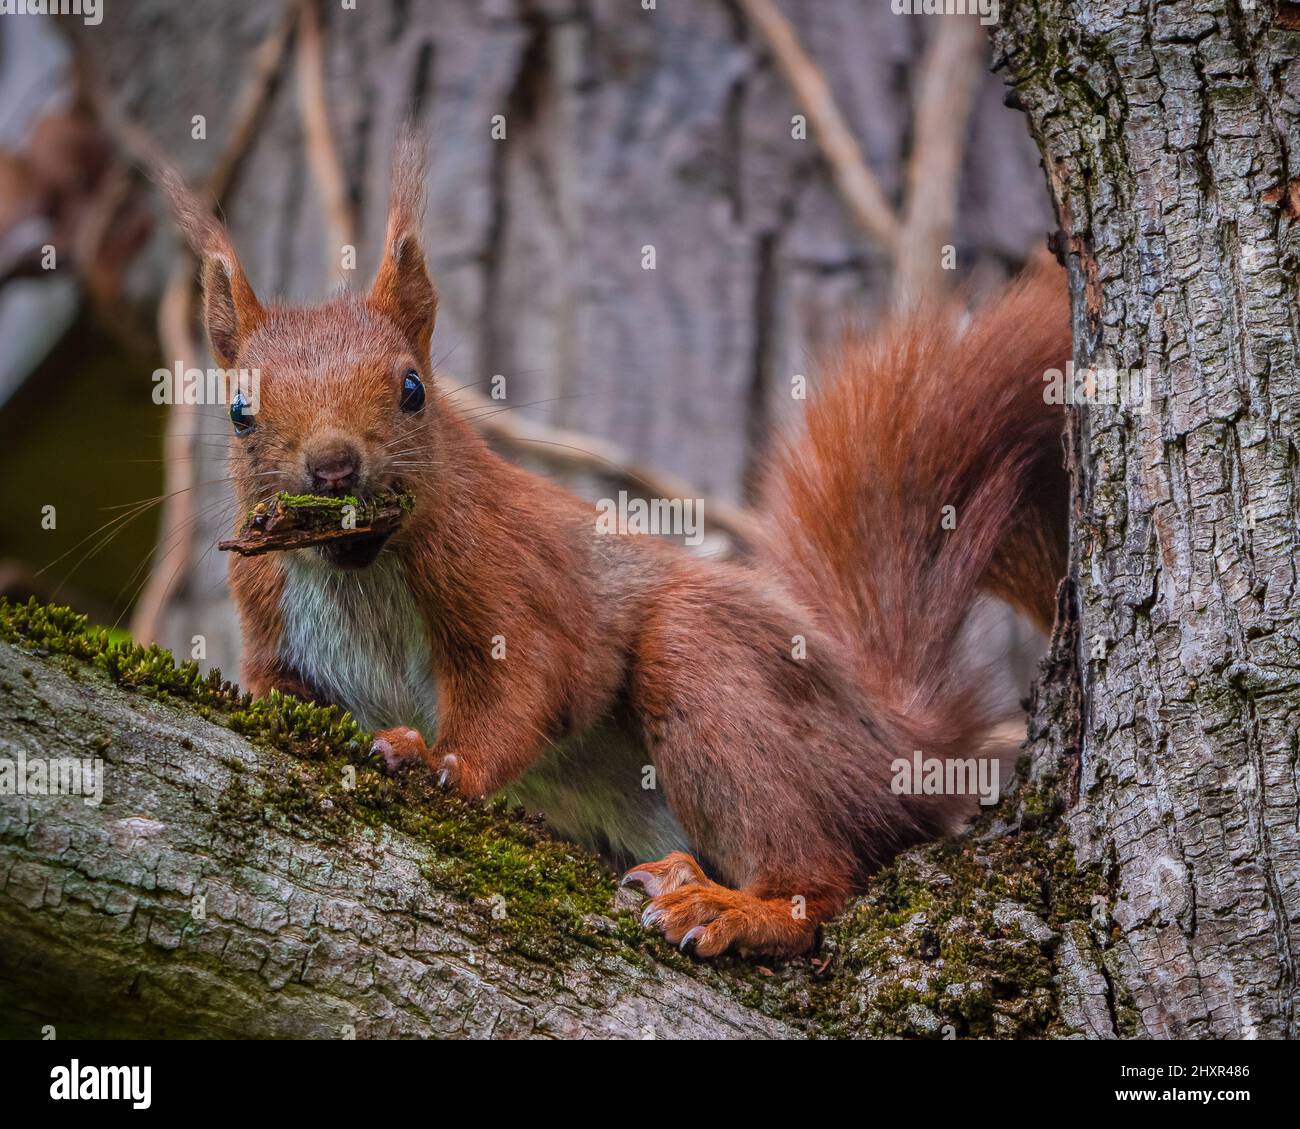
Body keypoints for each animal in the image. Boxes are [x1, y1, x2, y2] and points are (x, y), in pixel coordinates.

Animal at [160, 130, 1070, 959]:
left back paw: (736, 908)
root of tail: (901, 742)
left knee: (816, 875)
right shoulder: (271, 620)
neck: (357, 569)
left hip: (717, 663)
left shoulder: (507, 577)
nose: (333, 465)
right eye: (239, 411)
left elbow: (528, 685)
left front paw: (441, 762)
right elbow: (280, 691)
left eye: (413, 389)